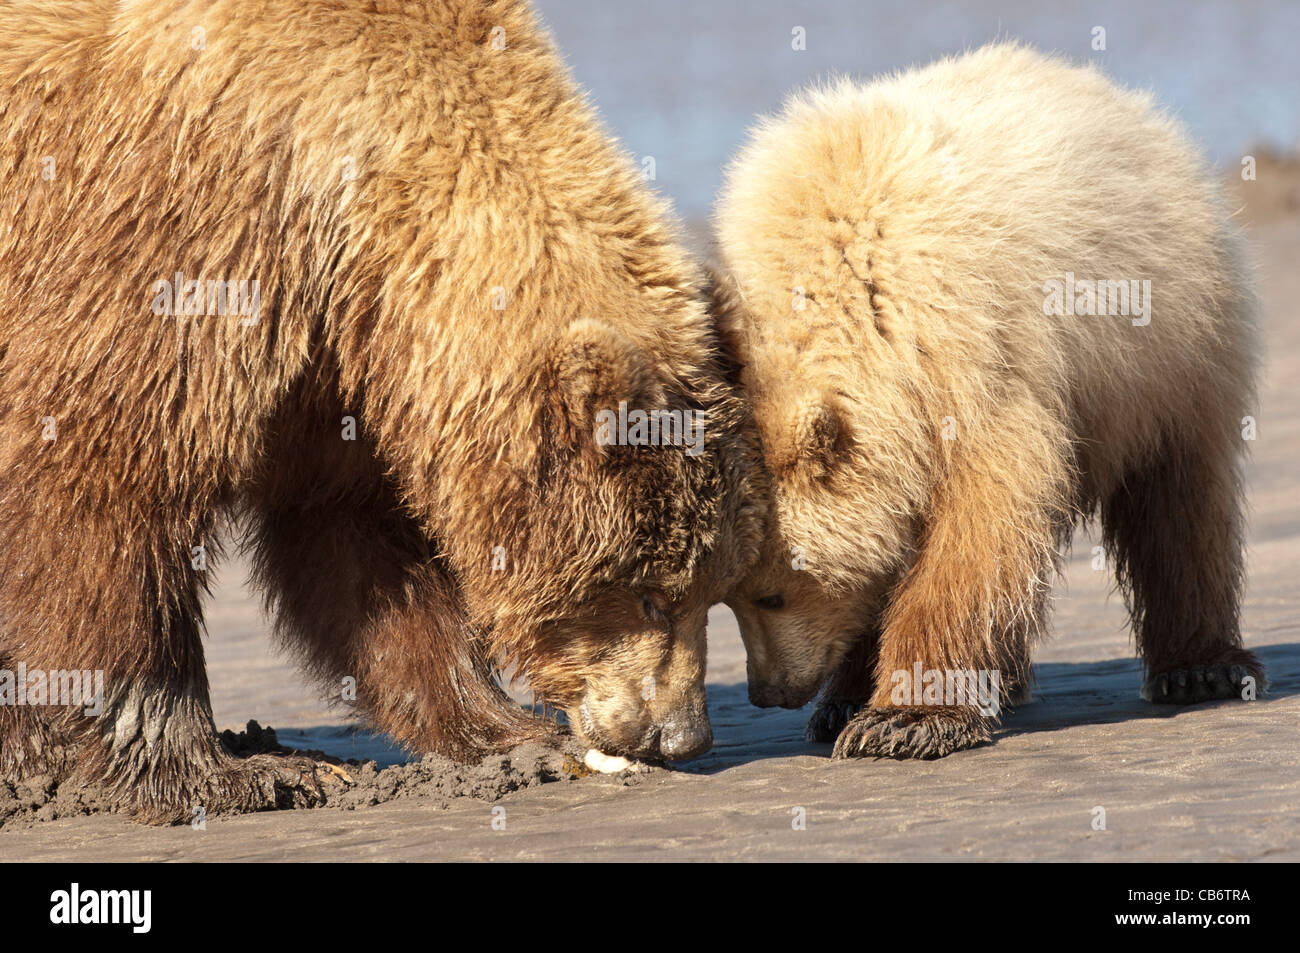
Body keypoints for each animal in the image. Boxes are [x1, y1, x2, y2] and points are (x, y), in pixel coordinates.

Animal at [0, 0, 763, 822]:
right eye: (651, 593)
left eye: (716, 584)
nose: (683, 734)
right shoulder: (178, 235)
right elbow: (105, 477)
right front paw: (221, 768)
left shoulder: (342, 363)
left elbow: (361, 547)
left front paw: (514, 734)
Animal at [710, 43, 1263, 759]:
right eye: (730, 598)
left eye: (774, 595)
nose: (767, 691)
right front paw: (845, 700)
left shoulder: (970, 362)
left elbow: (979, 527)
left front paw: (902, 718)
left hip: (1171, 347)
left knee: (1179, 502)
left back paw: (1201, 667)